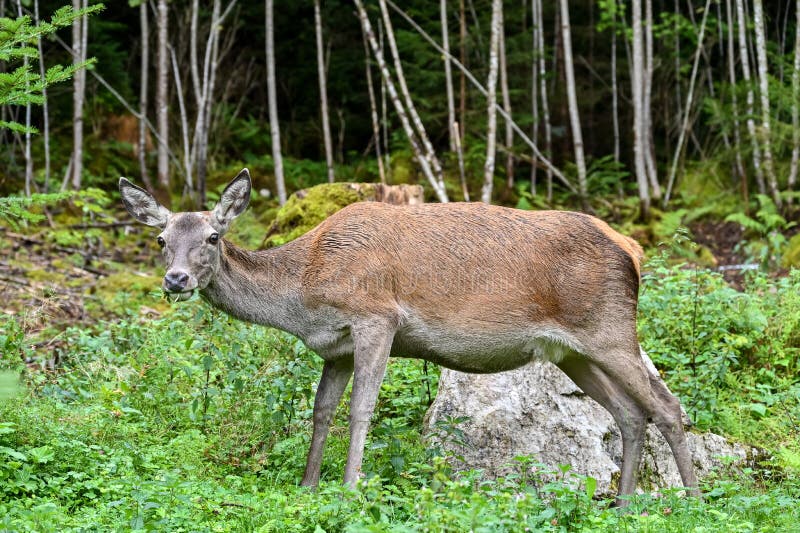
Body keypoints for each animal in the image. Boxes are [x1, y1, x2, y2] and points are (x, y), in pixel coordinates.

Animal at [119, 168, 699, 505]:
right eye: (161, 238)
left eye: (213, 236)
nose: (177, 280)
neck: (305, 290)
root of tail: (632, 248)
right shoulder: (335, 348)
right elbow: (321, 411)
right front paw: (307, 487)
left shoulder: (377, 318)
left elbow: (361, 409)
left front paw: (349, 490)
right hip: (573, 351)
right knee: (631, 411)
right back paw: (623, 505)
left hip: (609, 327)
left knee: (669, 406)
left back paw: (692, 502)